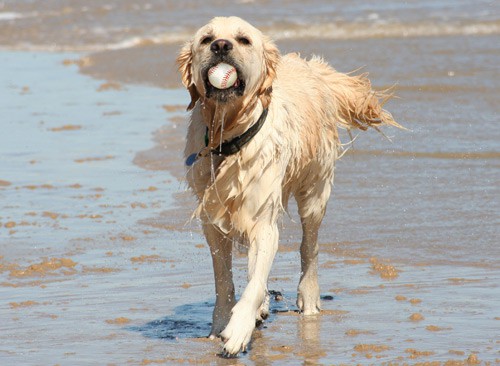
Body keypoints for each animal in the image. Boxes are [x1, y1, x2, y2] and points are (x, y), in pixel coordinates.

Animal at [176, 16, 398, 354]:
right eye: (206, 39)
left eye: (243, 39)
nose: (221, 46)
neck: (230, 140)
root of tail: (313, 67)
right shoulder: (213, 220)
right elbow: (224, 279)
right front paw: (222, 321)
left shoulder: (263, 219)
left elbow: (255, 280)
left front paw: (238, 329)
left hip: (315, 191)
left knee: (309, 247)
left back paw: (308, 298)